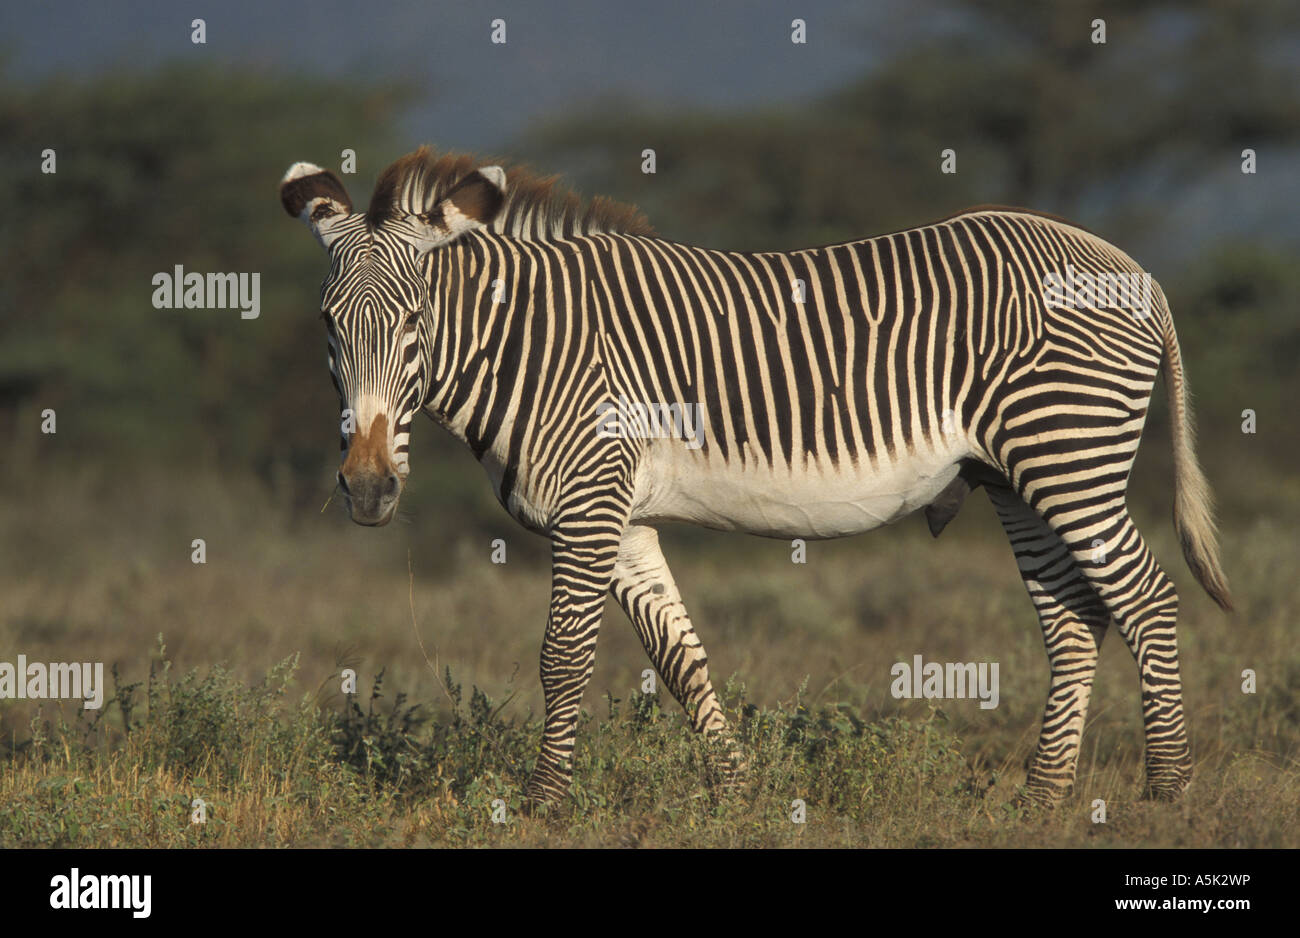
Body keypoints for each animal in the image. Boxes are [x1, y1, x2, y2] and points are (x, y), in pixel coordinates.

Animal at [279, 146, 1231, 809]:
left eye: (414, 321)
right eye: (327, 323)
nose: (368, 489)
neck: (531, 346)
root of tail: (1134, 270)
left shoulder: (589, 504)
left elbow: (564, 657)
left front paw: (543, 804)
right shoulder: (622, 516)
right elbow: (678, 657)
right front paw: (739, 794)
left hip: (1068, 453)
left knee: (1146, 598)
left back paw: (1169, 791)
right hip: (1016, 473)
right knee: (1073, 620)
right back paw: (1041, 797)